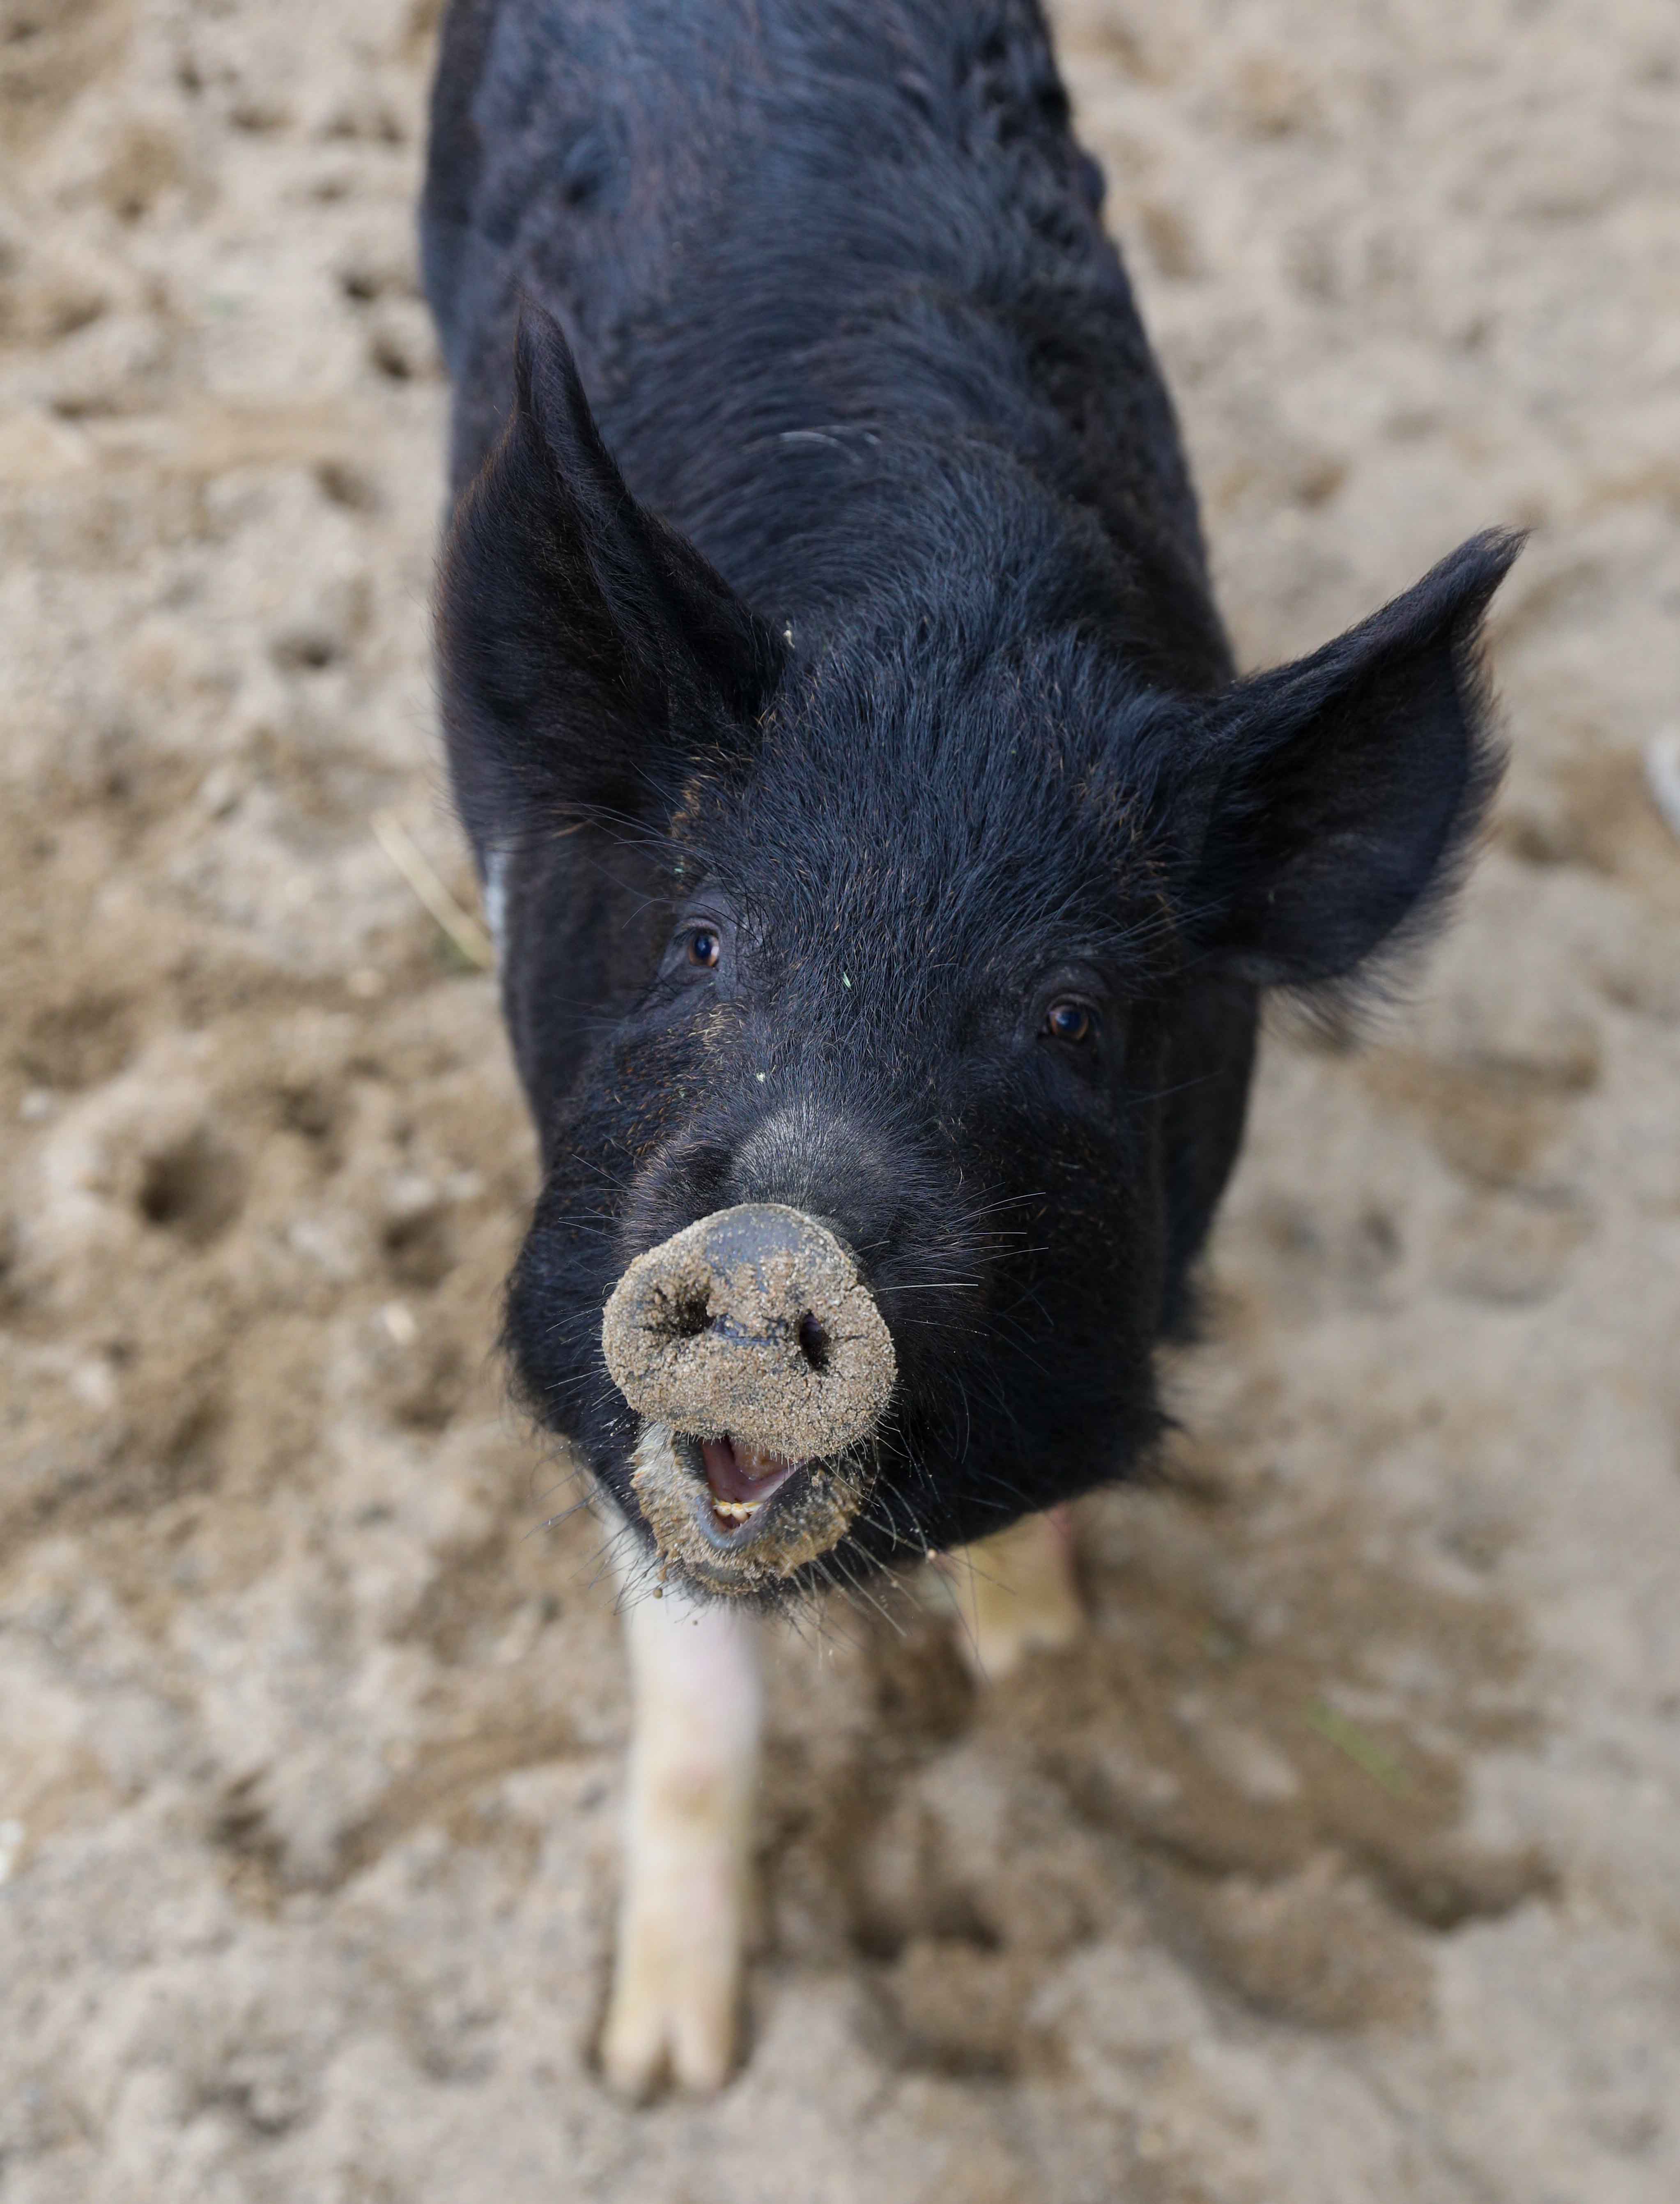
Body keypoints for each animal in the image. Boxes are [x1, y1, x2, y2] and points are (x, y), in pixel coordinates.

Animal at [420, 0, 1518, 2098]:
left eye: (1070, 1017)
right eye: (705, 939)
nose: (773, 1239)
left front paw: (1045, 1666)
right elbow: (696, 1692)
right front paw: (661, 2073)